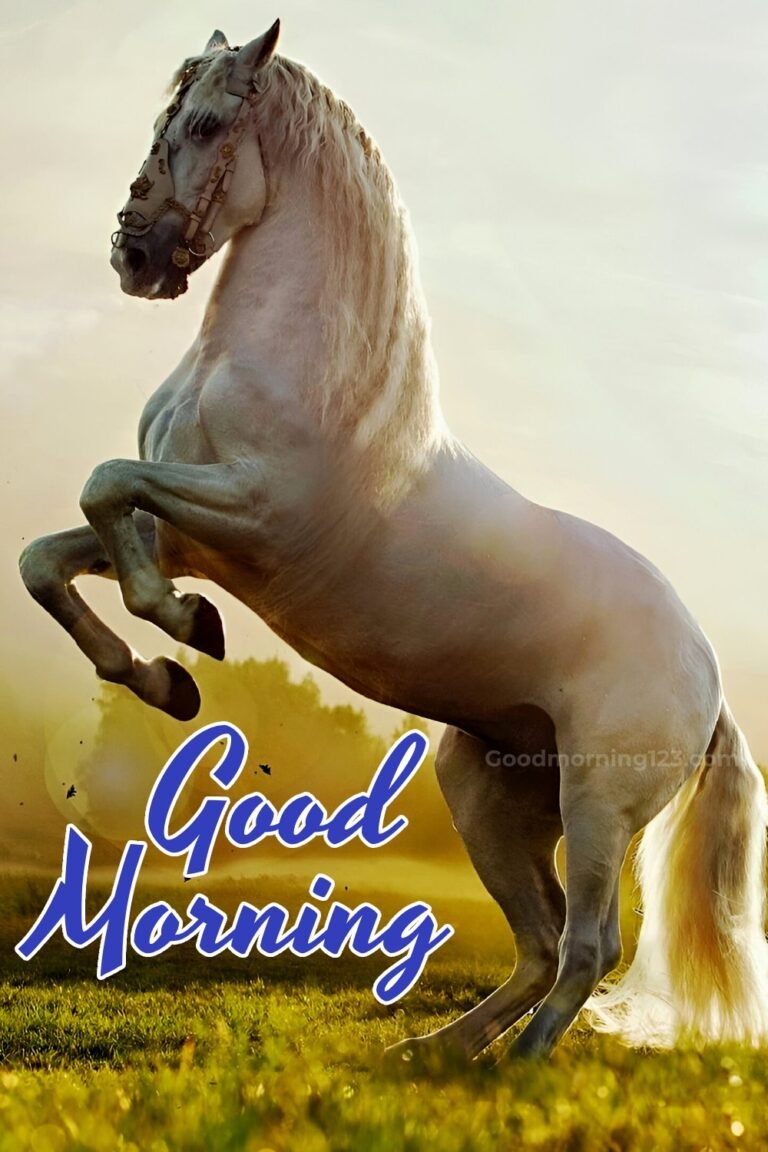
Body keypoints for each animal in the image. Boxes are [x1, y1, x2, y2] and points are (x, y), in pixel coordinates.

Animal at [19, 21, 768, 1061]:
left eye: (204, 124)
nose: (134, 255)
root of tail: (709, 676)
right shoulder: (186, 534)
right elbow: (51, 556)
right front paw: (164, 677)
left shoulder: (248, 516)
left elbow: (104, 491)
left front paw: (185, 634)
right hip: (488, 795)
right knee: (540, 943)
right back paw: (433, 1052)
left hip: (598, 805)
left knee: (590, 946)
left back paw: (515, 1070)